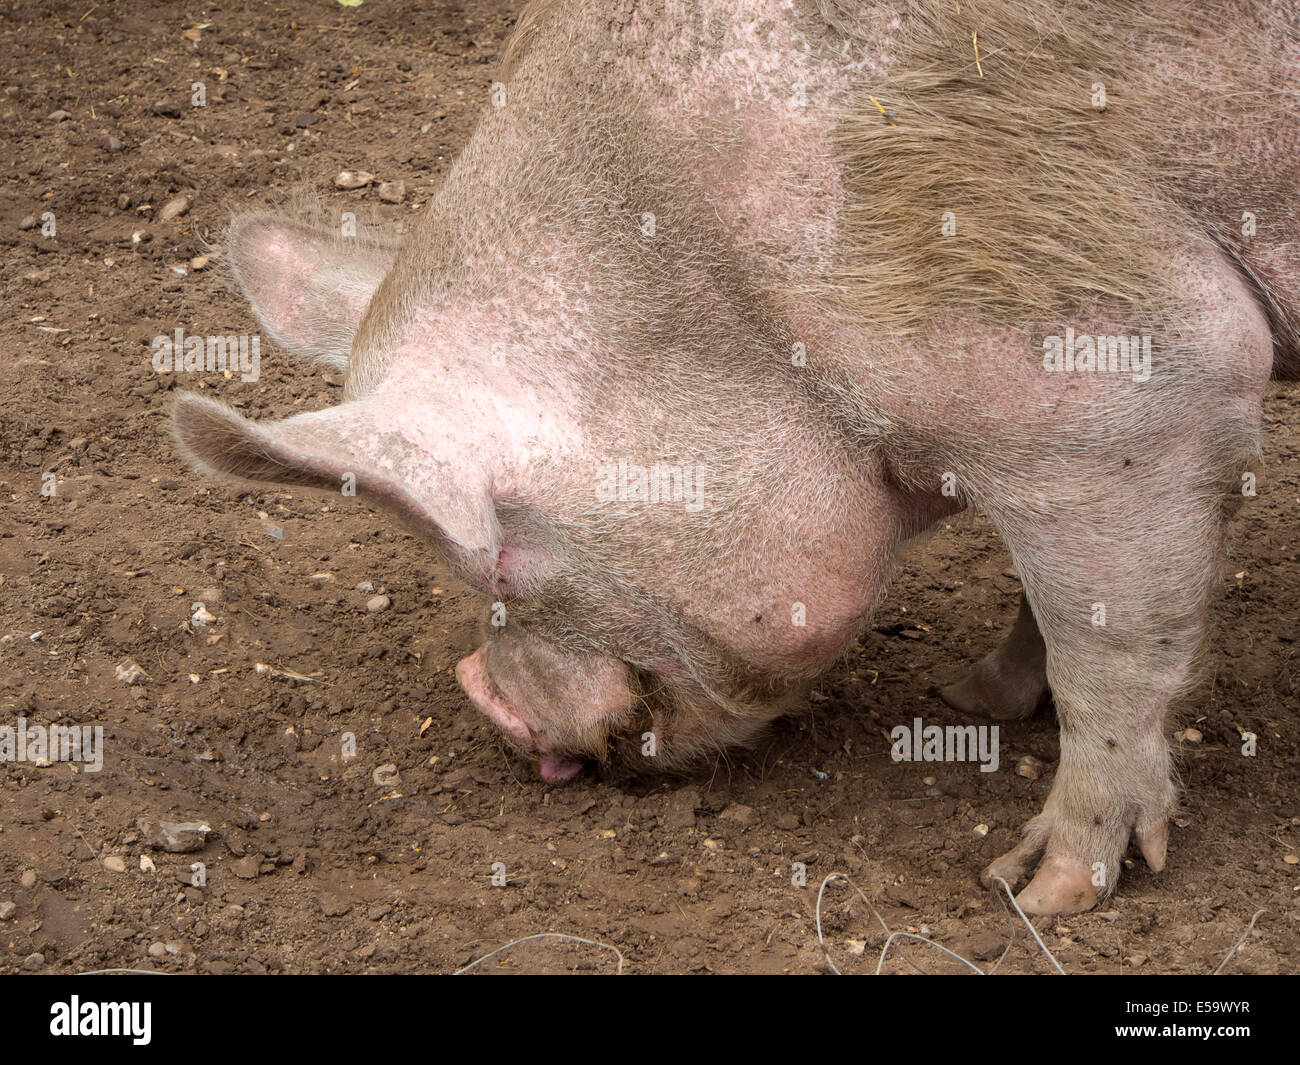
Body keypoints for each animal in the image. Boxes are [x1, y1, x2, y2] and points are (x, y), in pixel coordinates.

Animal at [172, 0, 1299, 915]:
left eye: (500, 566)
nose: (486, 697)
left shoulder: (1120, 368)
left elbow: (1106, 647)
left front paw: (1034, 893)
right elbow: (1043, 606)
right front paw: (967, 700)